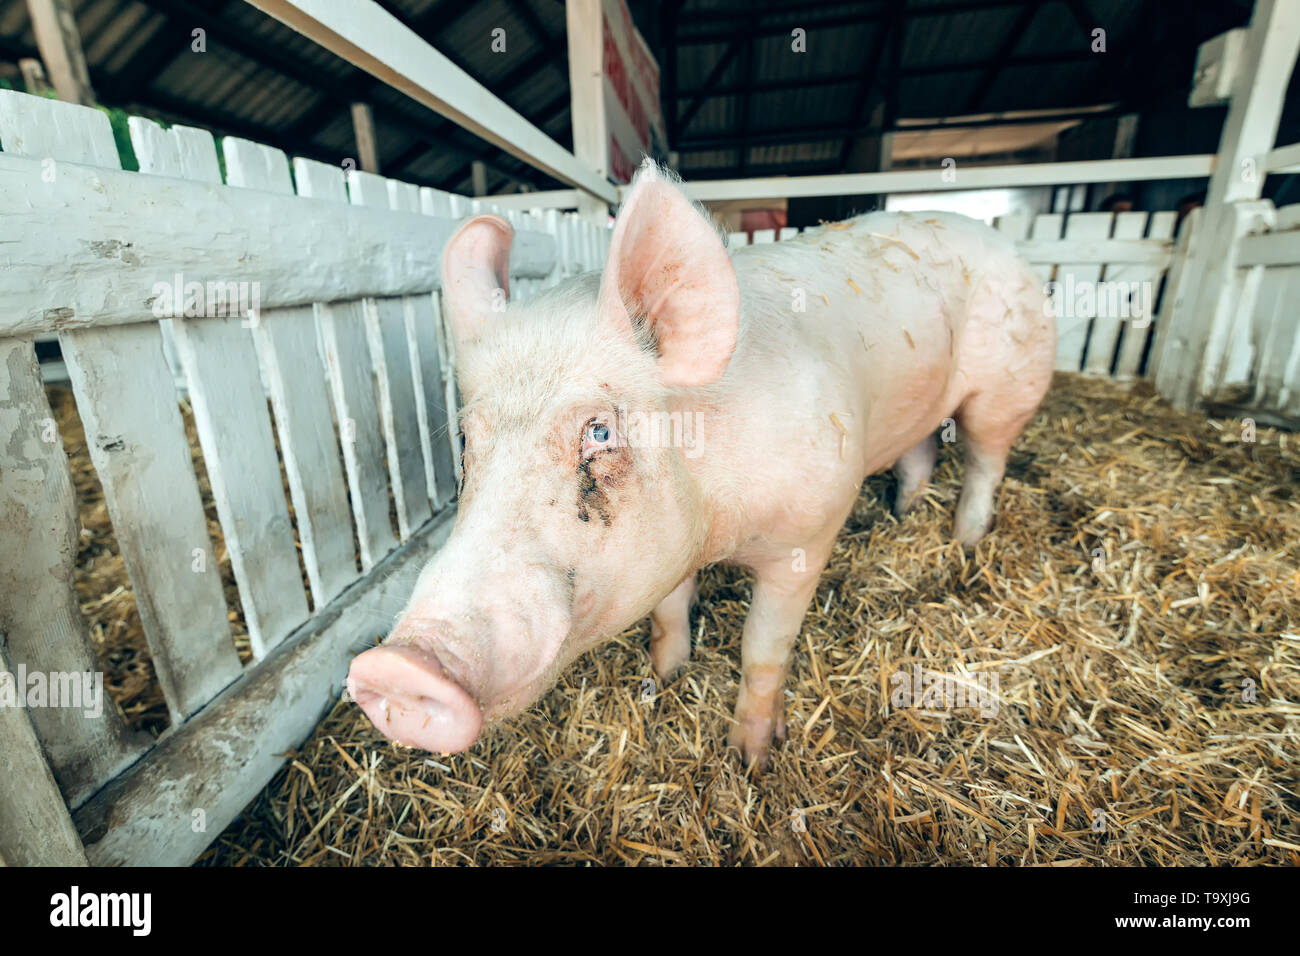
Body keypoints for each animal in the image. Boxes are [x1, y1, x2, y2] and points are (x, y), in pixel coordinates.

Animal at [346, 160, 1054, 768]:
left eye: (599, 431)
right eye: (467, 442)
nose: (398, 666)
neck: (719, 533)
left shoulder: (810, 530)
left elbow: (763, 649)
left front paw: (750, 760)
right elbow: (668, 611)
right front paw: (666, 677)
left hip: (1010, 384)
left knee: (986, 459)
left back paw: (965, 541)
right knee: (924, 447)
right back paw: (904, 513)